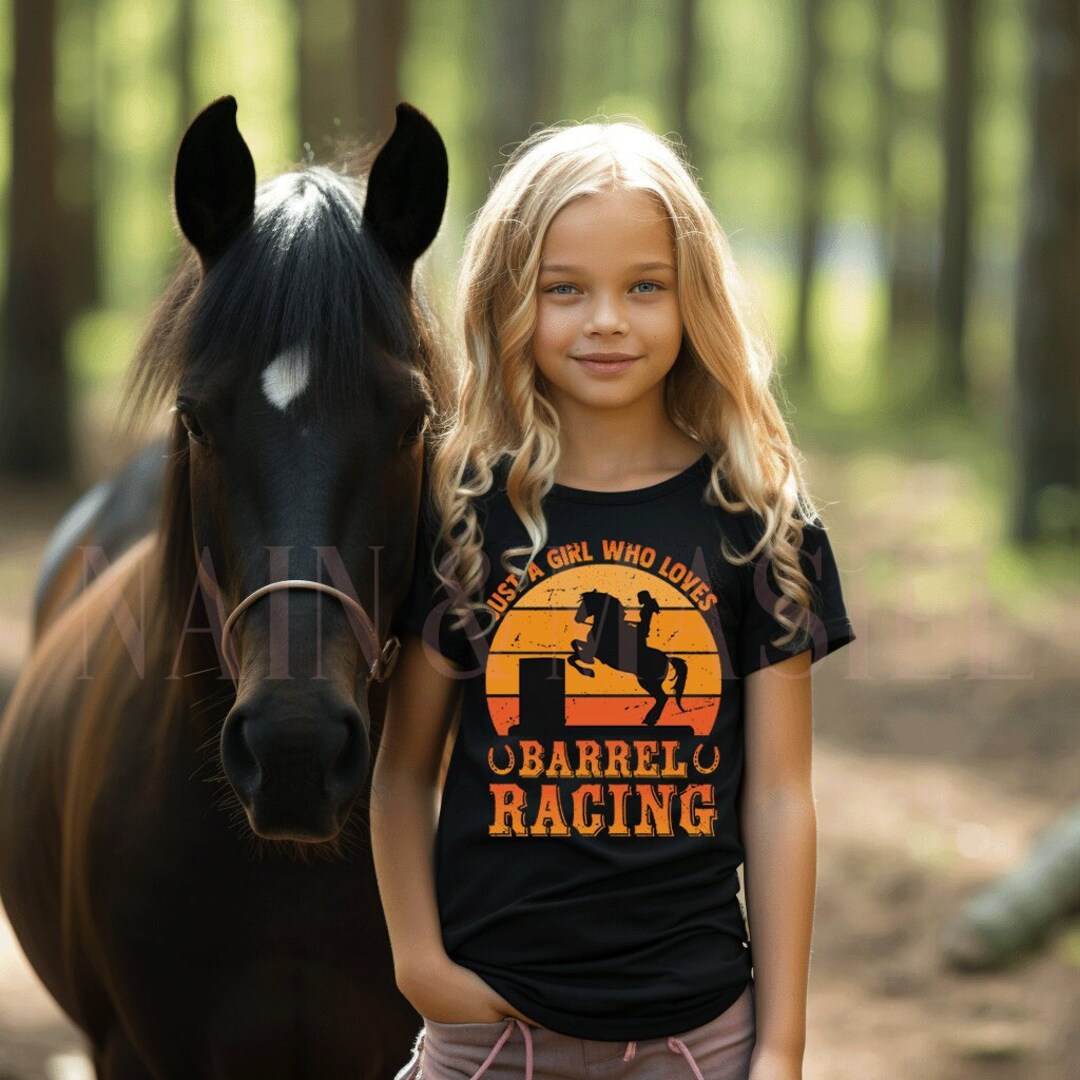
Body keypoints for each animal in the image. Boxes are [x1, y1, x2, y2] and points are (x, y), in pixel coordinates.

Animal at [570, 589, 689, 725]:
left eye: (587, 603)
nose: (577, 618)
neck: (607, 627)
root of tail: (667, 658)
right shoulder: (589, 647)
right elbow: (573, 648)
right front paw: (588, 670)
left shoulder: (594, 651)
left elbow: (574, 651)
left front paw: (589, 669)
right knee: (661, 698)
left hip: (648, 682)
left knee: (662, 697)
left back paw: (650, 719)